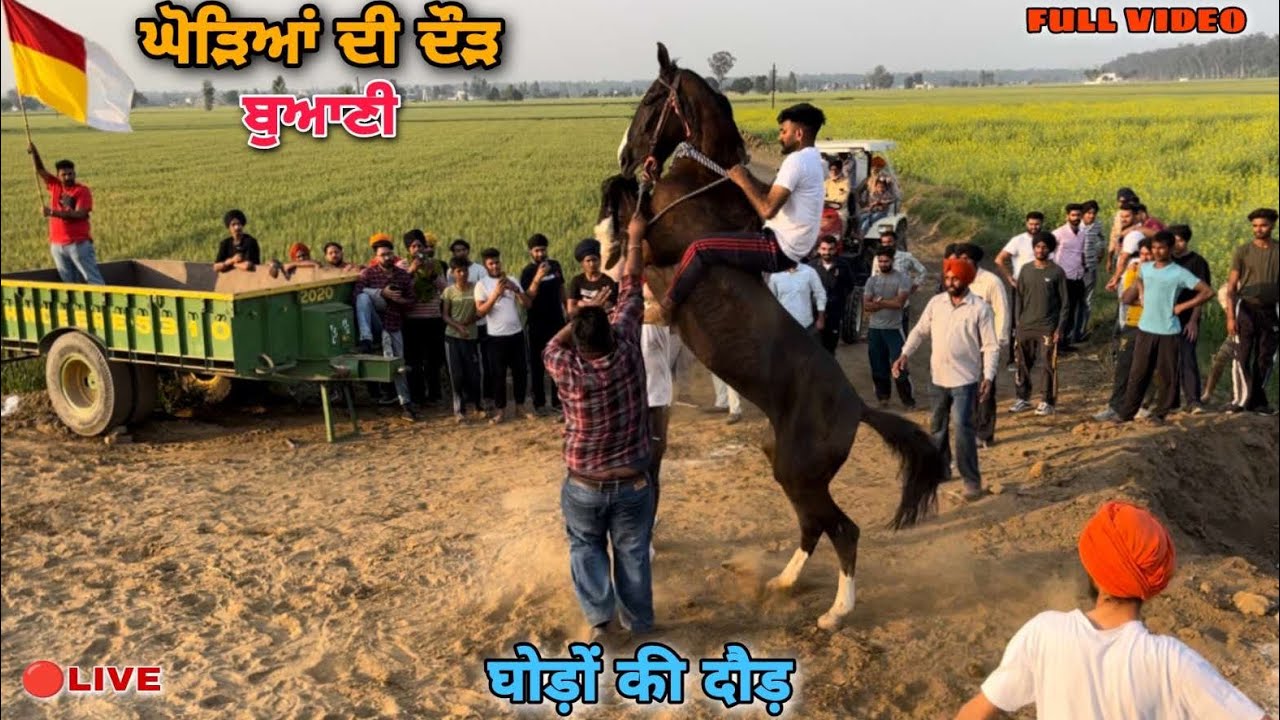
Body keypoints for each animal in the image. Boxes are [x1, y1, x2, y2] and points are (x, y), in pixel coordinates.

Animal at [594, 44, 947, 631]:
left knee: (843, 529)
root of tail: (858, 408)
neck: (701, 182)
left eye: (649, 101)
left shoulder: (661, 242)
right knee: (814, 525)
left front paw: (609, 254)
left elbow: (621, 208)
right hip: (785, 462)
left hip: (800, 470)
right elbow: (616, 203)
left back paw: (835, 613)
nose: (625, 153)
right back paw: (783, 582)